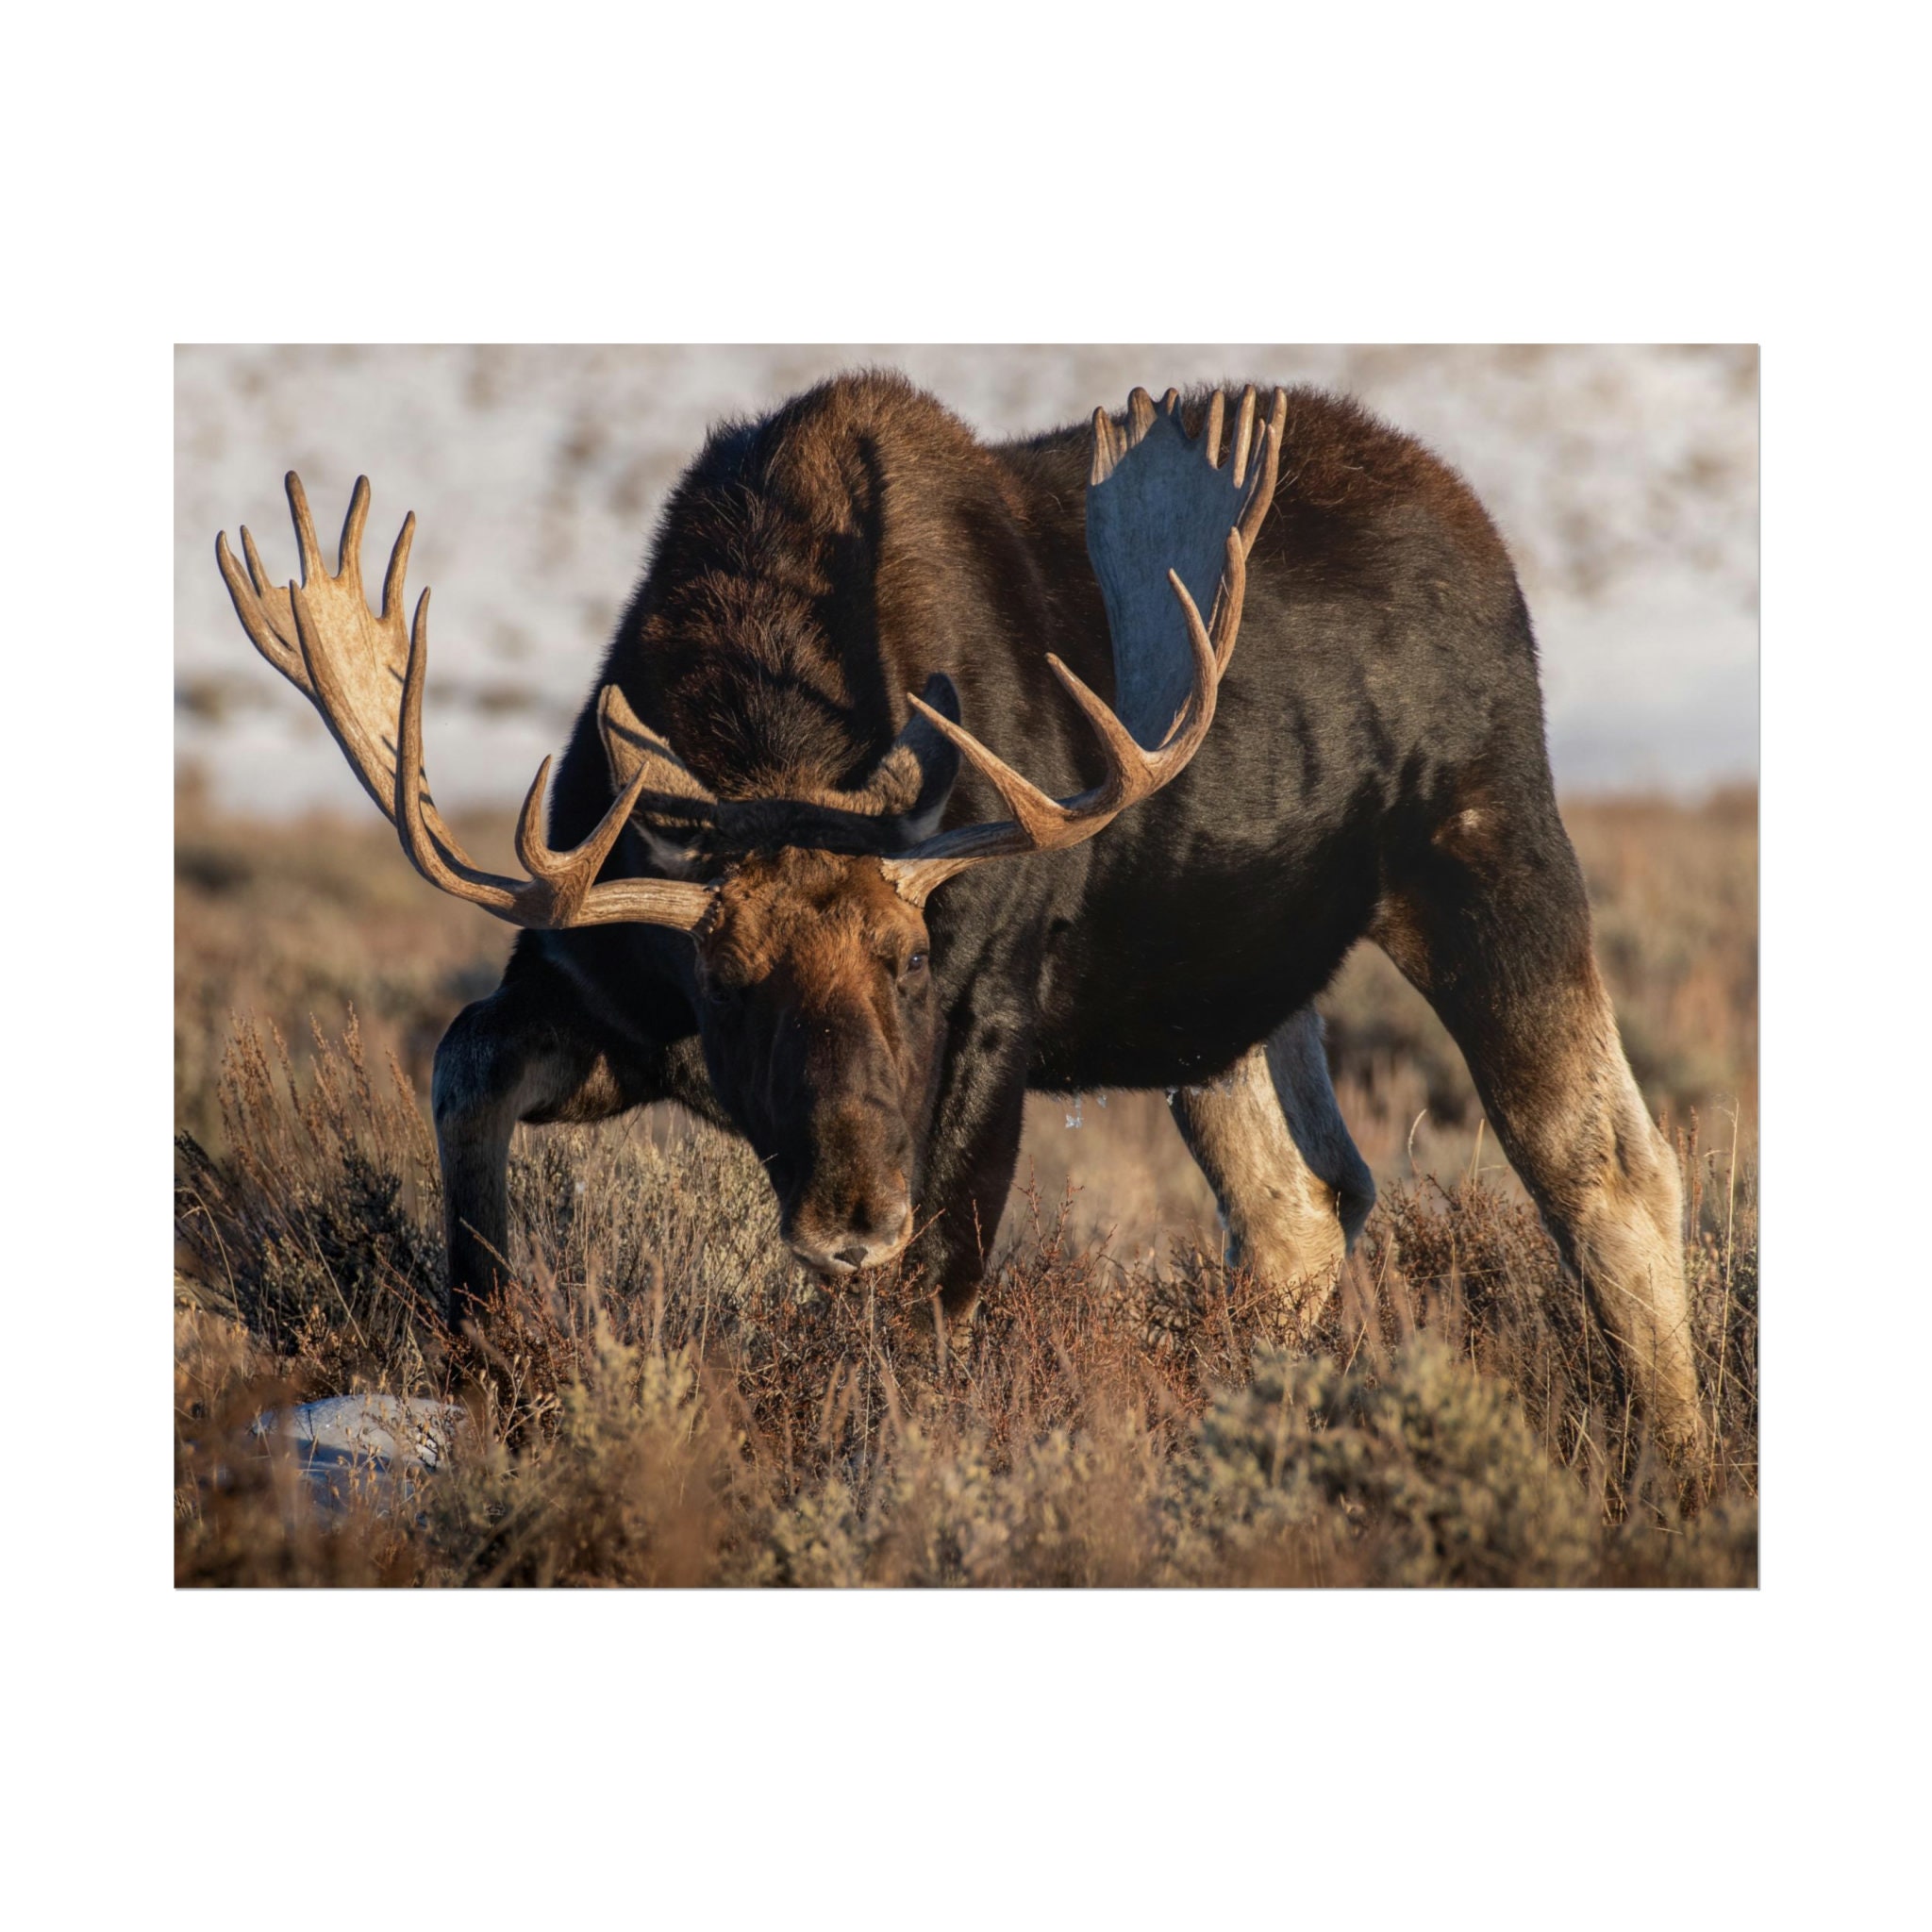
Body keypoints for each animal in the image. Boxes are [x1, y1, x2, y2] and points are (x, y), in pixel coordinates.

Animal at [217, 372, 1704, 1452]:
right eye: (722, 977)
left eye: (908, 958)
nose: (844, 1213)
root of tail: (1481, 526)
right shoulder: (603, 997)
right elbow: (460, 1063)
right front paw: (479, 1349)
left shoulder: (994, 1021)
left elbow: (933, 1294)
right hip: (1227, 998)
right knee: (1305, 1198)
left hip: (1487, 843)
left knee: (1604, 1165)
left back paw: (1672, 1459)